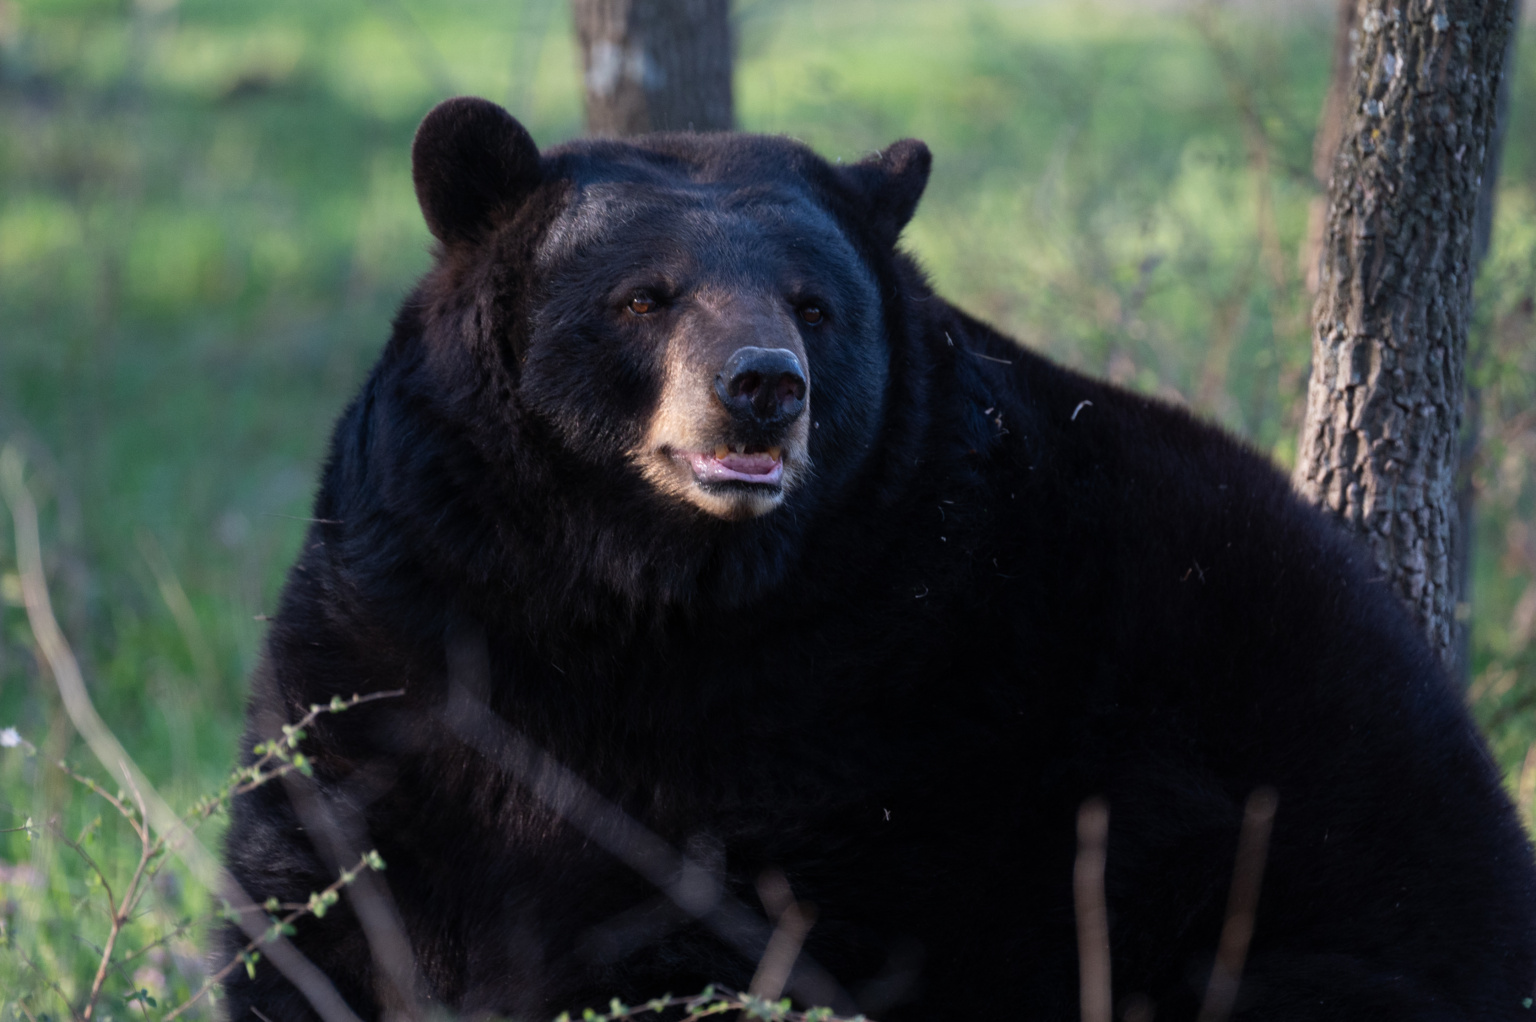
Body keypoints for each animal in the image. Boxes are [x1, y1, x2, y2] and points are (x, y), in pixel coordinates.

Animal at [221, 95, 1536, 1022]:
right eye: (644, 297)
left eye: (814, 305)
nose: (762, 387)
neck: (634, 589)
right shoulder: (411, 585)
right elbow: (321, 859)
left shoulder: (891, 670)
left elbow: (722, 919)